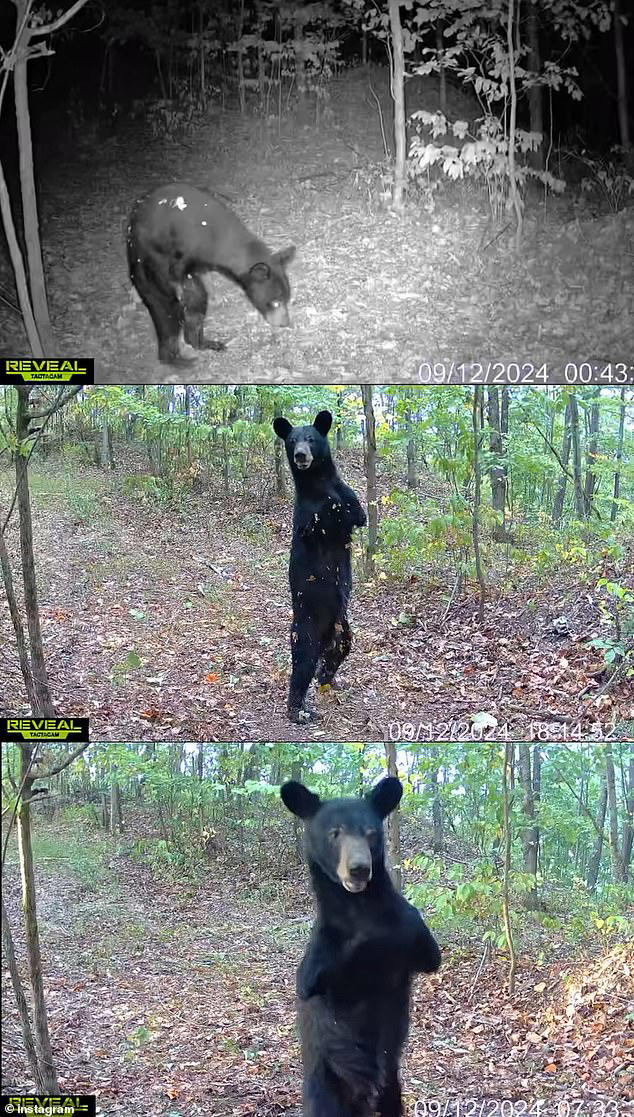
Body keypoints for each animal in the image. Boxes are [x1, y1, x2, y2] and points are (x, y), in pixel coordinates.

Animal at [127, 183, 295, 365]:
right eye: (274, 302)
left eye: (287, 298)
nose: (285, 323)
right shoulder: (182, 250)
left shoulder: (201, 262)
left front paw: (215, 296)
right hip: (148, 268)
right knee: (166, 310)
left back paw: (207, 344)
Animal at [273, 409, 366, 723]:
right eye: (292, 440)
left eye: (311, 438)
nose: (301, 455)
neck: (317, 482)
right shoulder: (306, 516)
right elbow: (316, 523)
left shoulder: (348, 497)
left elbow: (357, 513)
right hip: (306, 630)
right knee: (302, 666)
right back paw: (299, 710)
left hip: (343, 628)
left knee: (337, 652)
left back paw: (328, 677)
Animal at [280, 777, 441, 1117]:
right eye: (334, 832)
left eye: (370, 833)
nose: (359, 868)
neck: (360, 907)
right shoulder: (318, 964)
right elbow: (323, 980)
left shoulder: (417, 937)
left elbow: (428, 952)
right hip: (324, 1086)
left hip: (392, 1090)